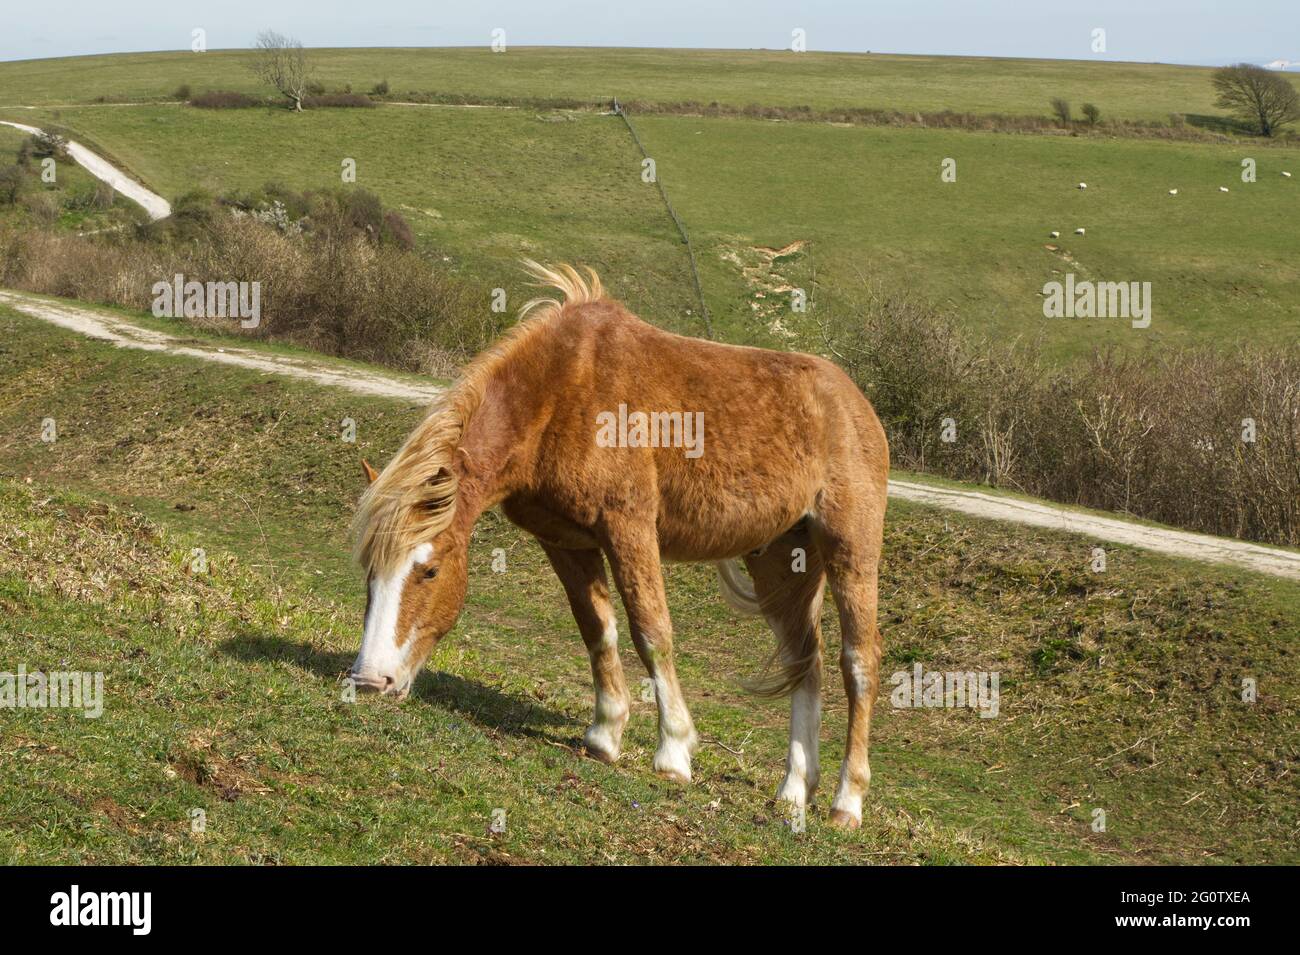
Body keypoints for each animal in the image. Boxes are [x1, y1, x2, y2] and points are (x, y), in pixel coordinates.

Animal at [350, 262, 889, 827]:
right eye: (369, 573)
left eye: (429, 571)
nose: (368, 681)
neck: (560, 394)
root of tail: (855, 404)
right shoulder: (564, 541)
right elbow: (597, 629)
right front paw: (604, 735)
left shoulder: (628, 527)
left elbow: (651, 632)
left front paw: (673, 752)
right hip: (781, 561)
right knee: (805, 662)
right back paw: (792, 791)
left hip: (850, 550)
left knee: (859, 664)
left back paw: (846, 802)